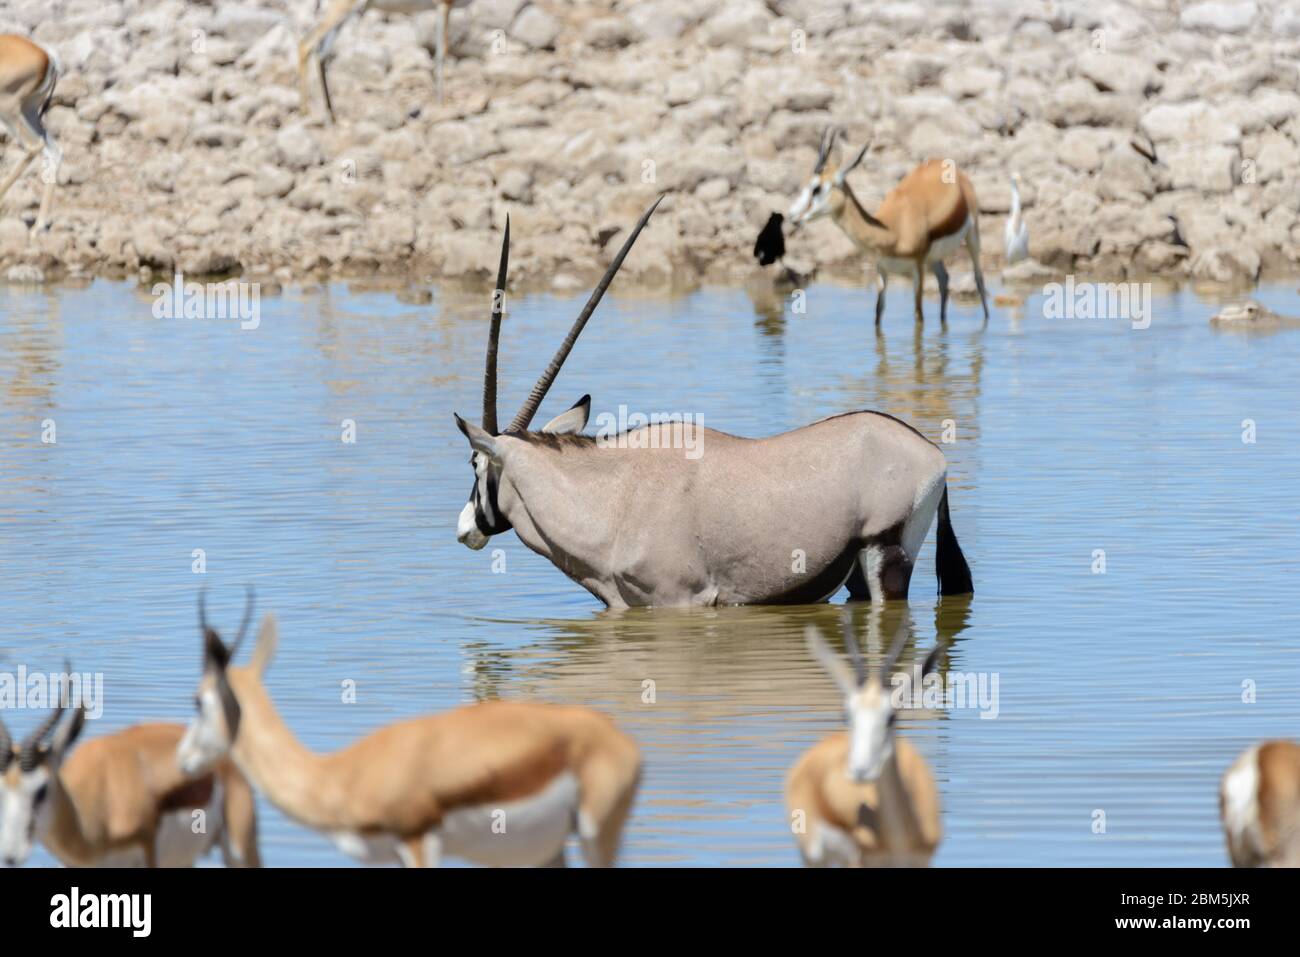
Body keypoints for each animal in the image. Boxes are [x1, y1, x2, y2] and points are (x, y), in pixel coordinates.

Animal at [0, 34, 62, 234]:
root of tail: (46, 54)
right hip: (29, 111)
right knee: (54, 150)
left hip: (8, 109)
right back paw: (39, 225)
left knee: (34, 146)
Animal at [176, 590, 642, 867]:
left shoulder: (419, 842)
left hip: (594, 832)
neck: (343, 776)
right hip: (542, 848)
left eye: (197, 700)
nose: (183, 759)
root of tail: (621, 740)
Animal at [299, 0, 464, 122]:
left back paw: (331, 113)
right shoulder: (444, 4)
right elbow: (443, 52)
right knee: (306, 44)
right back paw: (306, 112)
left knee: (321, 53)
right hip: (341, 9)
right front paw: (443, 105)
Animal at [453, 202, 974, 608]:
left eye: (475, 463)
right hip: (858, 578)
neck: (608, 498)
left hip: (887, 557)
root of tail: (930, 452)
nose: (463, 529)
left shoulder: (681, 603)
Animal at [787, 128, 990, 327]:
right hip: (934, 258)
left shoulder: (917, 268)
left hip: (972, 237)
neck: (893, 232)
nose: (792, 216)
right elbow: (878, 312)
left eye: (817, 189)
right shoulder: (882, 269)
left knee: (979, 279)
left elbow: (918, 314)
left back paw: (986, 318)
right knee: (944, 281)